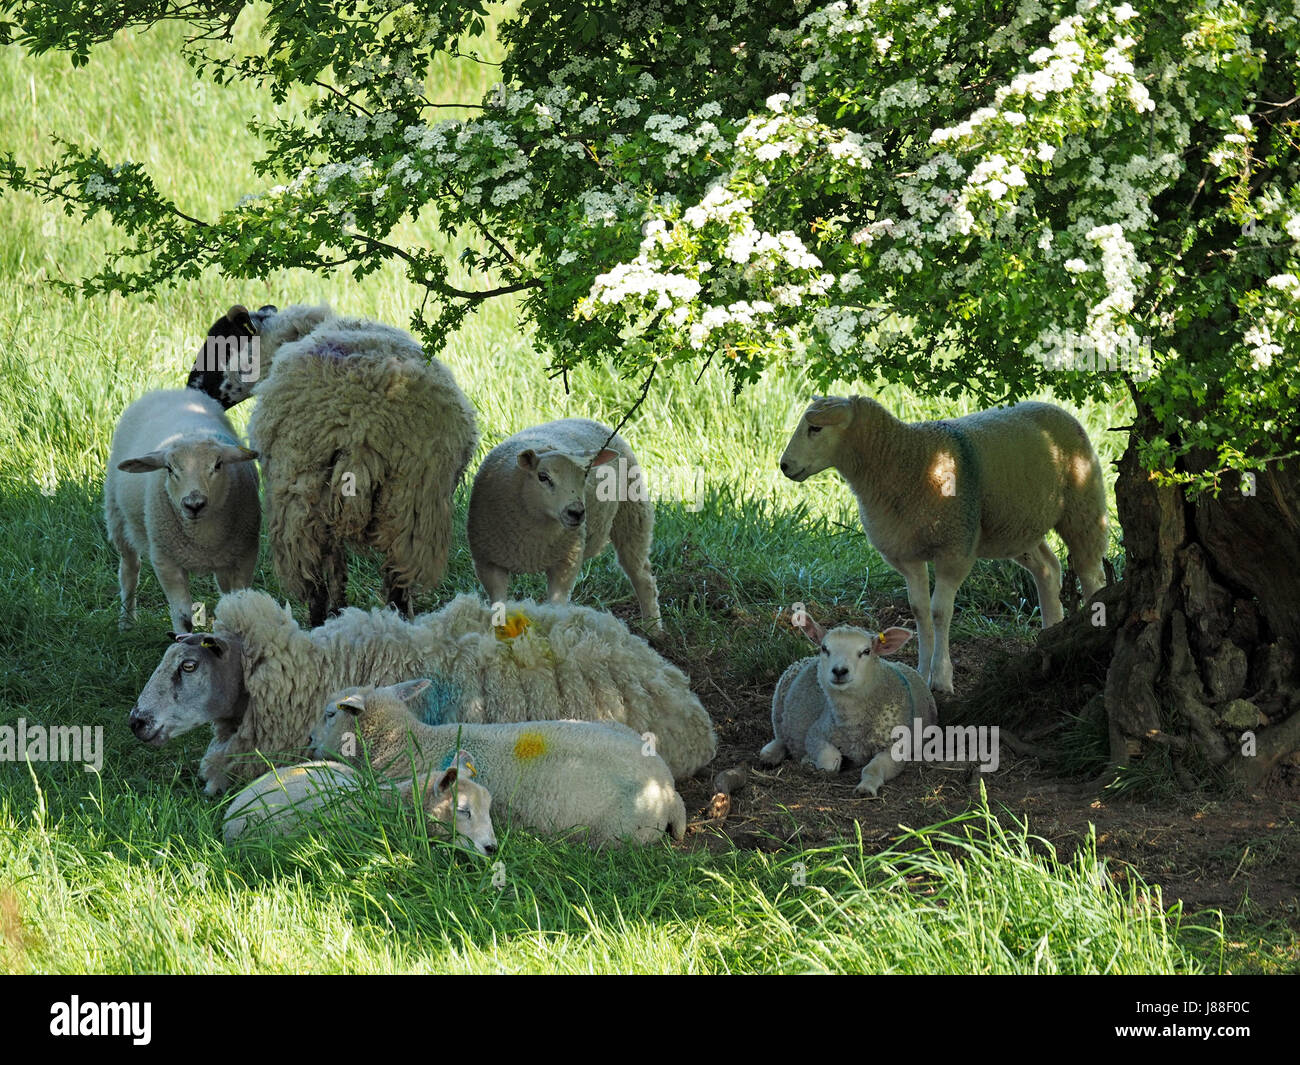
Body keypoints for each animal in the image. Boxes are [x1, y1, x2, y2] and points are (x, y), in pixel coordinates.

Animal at [103, 389, 260, 633]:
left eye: (218, 465)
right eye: (169, 469)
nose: (193, 504)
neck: (204, 539)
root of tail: (171, 391)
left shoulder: (245, 555)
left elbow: (237, 605)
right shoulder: (165, 561)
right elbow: (183, 617)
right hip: (117, 518)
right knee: (129, 570)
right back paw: (126, 622)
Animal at [188, 303, 479, 626]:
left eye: (221, 344)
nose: (191, 388)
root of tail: (364, 424)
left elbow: (334, 570)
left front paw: (335, 614)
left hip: (300, 497)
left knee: (313, 580)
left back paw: (317, 626)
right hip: (412, 502)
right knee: (398, 586)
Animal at [467, 418, 662, 632]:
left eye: (585, 476)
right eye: (543, 477)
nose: (576, 512)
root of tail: (585, 419)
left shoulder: (566, 561)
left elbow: (556, 605)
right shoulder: (488, 562)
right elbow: (499, 604)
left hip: (632, 514)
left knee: (642, 577)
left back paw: (654, 628)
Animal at [759, 610, 937, 796]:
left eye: (866, 651)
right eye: (824, 648)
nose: (839, 671)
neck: (853, 726)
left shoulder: (896, 748)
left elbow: (873, 768)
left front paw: (866, 787)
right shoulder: (816, 734)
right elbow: (830, 761)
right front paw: (810, 761)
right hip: (778, 705)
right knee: (781, 737)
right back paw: (769, 755)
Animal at [779, 395, 1108, 692]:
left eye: (816, 429)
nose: (784, 466)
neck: (904, 461)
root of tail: (1054, 407)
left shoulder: (954, 548)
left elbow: (939, 611)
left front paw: (940, 677)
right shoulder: (906, 553)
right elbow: (919, 610)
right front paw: (922, 671)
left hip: (1083, 506)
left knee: (1091, 571)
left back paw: (1093, 622)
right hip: (1017, 527)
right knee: (1048, 569)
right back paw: (1051, 632)